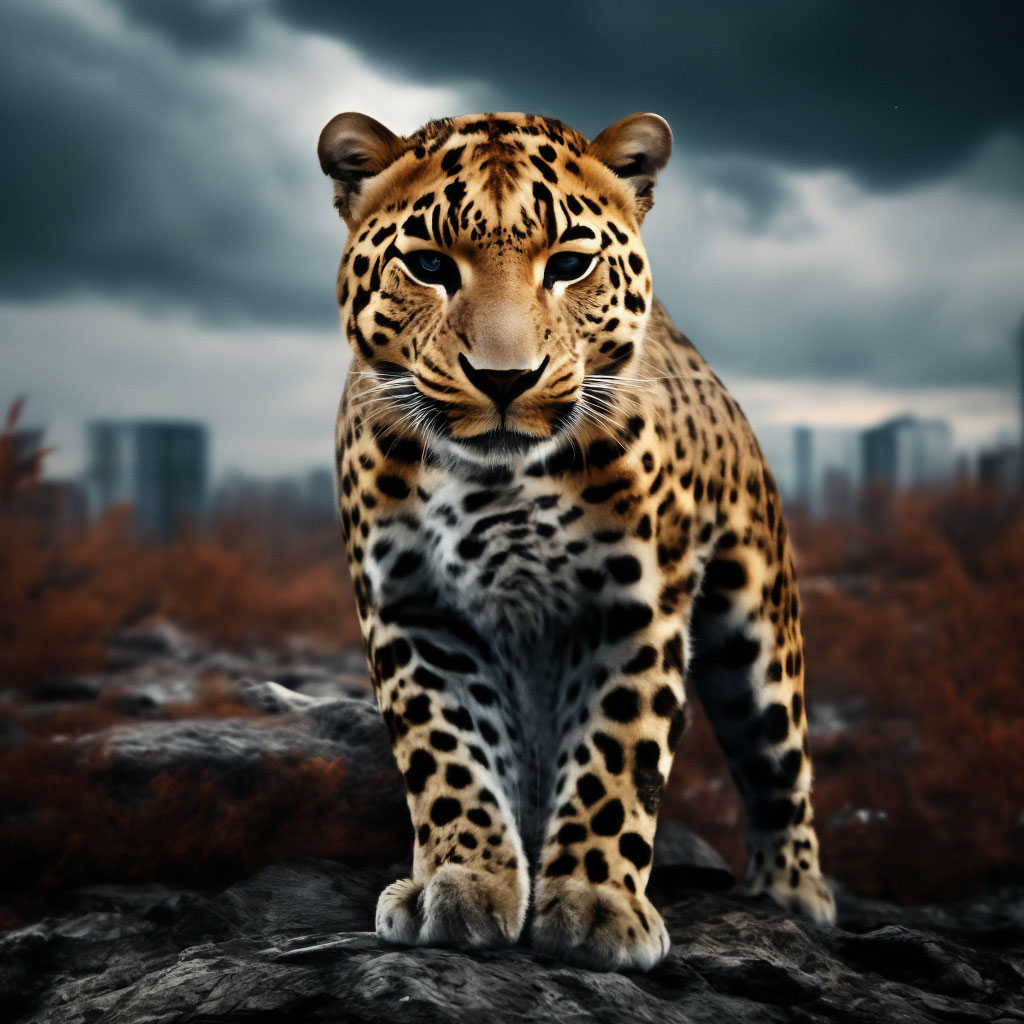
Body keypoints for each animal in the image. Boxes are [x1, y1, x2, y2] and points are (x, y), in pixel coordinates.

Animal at [316, 109, 836, 972]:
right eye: (428, 265)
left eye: (568, 265)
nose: (504, 379)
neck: (496, 481)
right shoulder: (414, 609)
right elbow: (447, 752)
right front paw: (462, 880)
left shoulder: (635, 605)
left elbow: (617, 759)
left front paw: (597, 904)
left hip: (758, 634)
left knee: (780, 766)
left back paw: (792, 895)